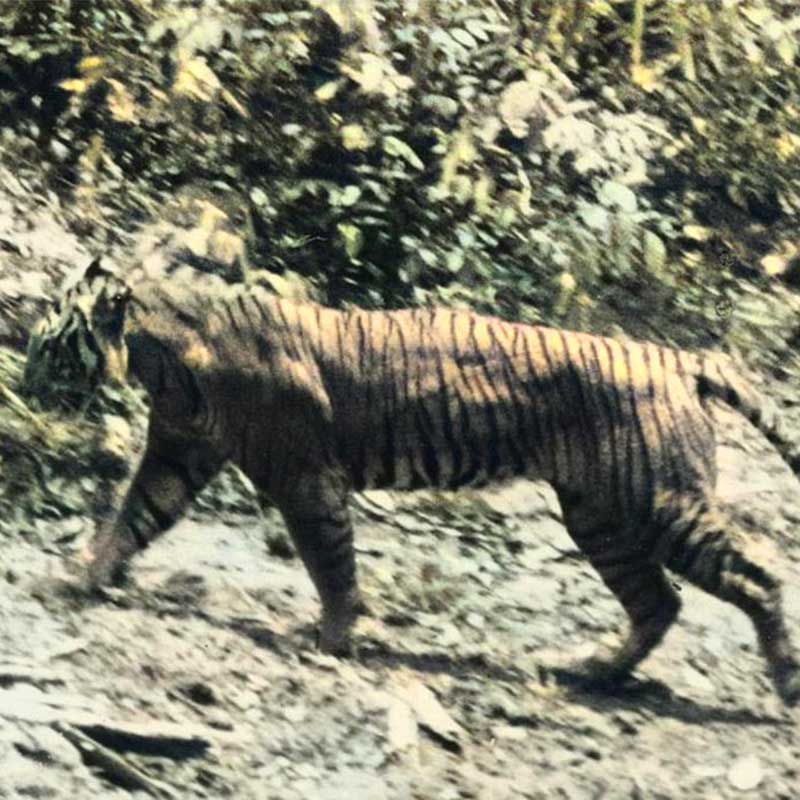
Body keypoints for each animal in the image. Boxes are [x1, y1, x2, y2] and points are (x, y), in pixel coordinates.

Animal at [27, 256, 800, 707]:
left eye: (49, 334)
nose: (26, 376)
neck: (159, 355)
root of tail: (679, 356)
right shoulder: (178, 454)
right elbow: (133, 519)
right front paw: (81, 577)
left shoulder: (303, 477)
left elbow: (329, 559)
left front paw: (332, 638)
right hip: (601, 518)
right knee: (657, 603)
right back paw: (593, 672)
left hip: (660, 504)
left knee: (758, 573)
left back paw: (784, 684)